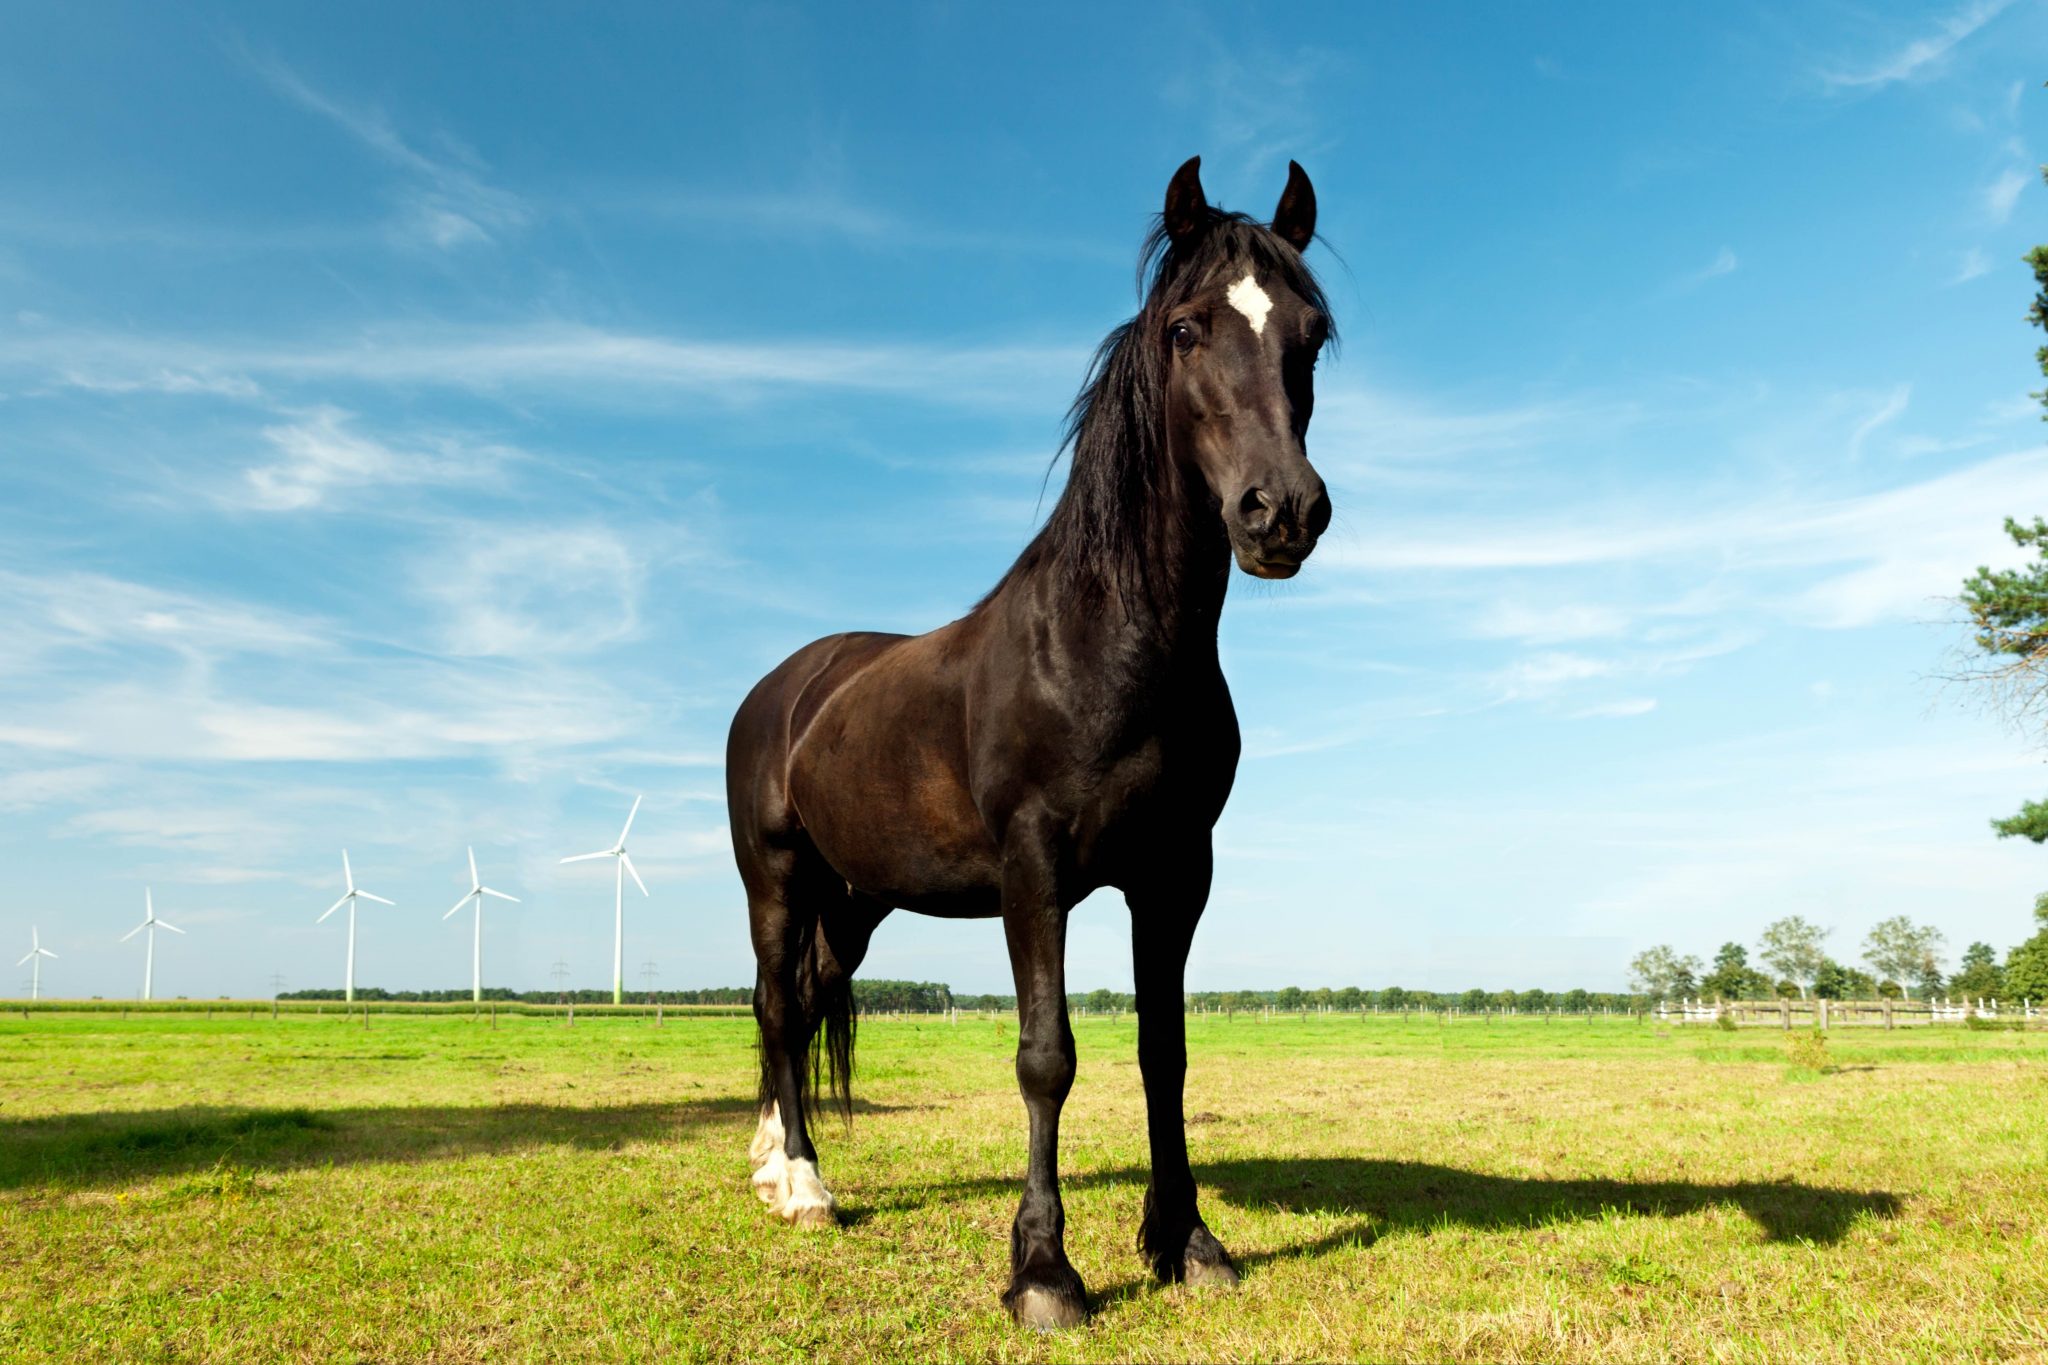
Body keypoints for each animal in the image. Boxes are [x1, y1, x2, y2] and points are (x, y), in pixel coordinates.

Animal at [725, 155, 1334, 1330]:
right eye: (1186, 329)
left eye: (1312, 335)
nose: (1280, 511)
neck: (1107, 643)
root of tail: (783, 688)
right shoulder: (1035, 870)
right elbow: (1046, 1057)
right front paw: (1045, 1272)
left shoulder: (1174, 875)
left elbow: (1163, 1053)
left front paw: (1185, 1241)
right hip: (774, 877)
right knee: (775, 1001)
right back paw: (804, 1183)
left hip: (855, 899)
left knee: (805, 1002)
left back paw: (774, 1158)